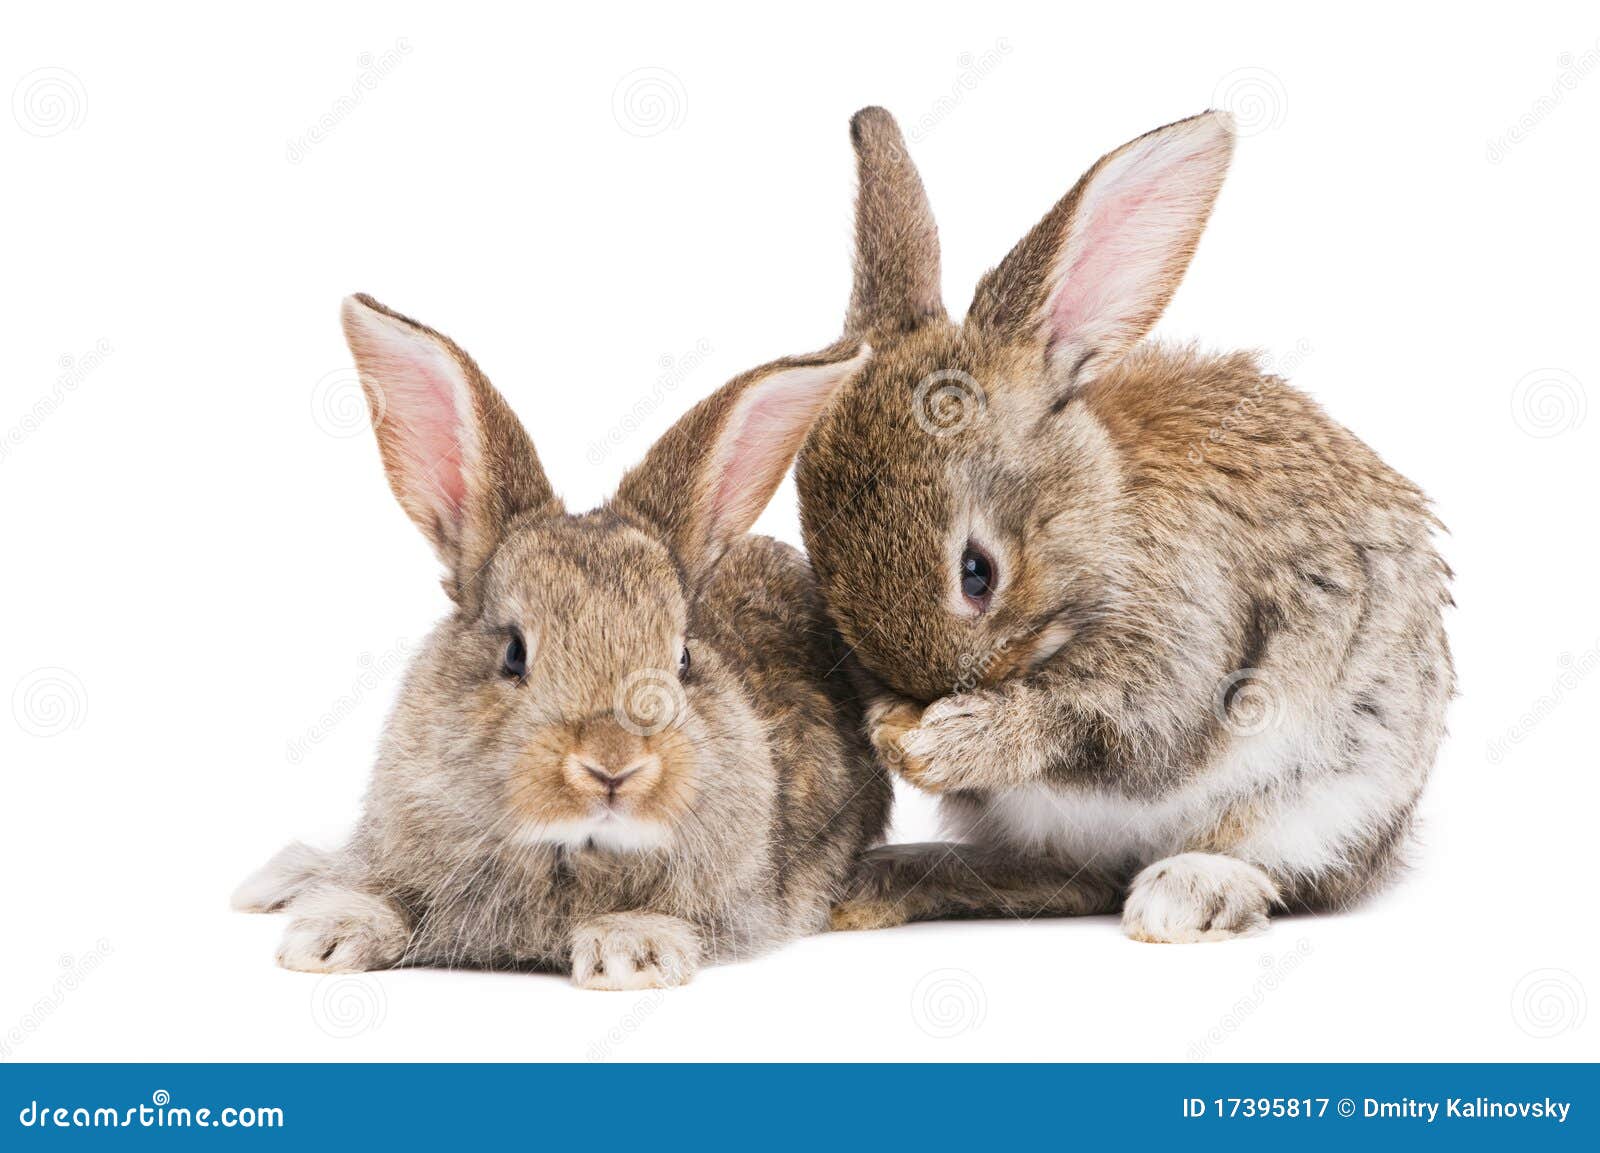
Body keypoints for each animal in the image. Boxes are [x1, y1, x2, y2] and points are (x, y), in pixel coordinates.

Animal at [233, 294, 891, 987]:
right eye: (514, 653)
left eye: (683, 658)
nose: (613, 765)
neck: (572, 847)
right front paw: (324, 941)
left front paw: (630, 951)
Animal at [793, 107, 1454, 943]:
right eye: (825, 575)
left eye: (978, 573)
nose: (929, 690)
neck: (1100, 520)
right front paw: (891, 727)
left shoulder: (1184, 652)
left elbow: (1104, 731)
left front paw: (951, 738)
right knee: (1073, 882)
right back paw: (881, 881)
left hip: (1335, 791)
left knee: (1276, 869)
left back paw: (1189, 894)